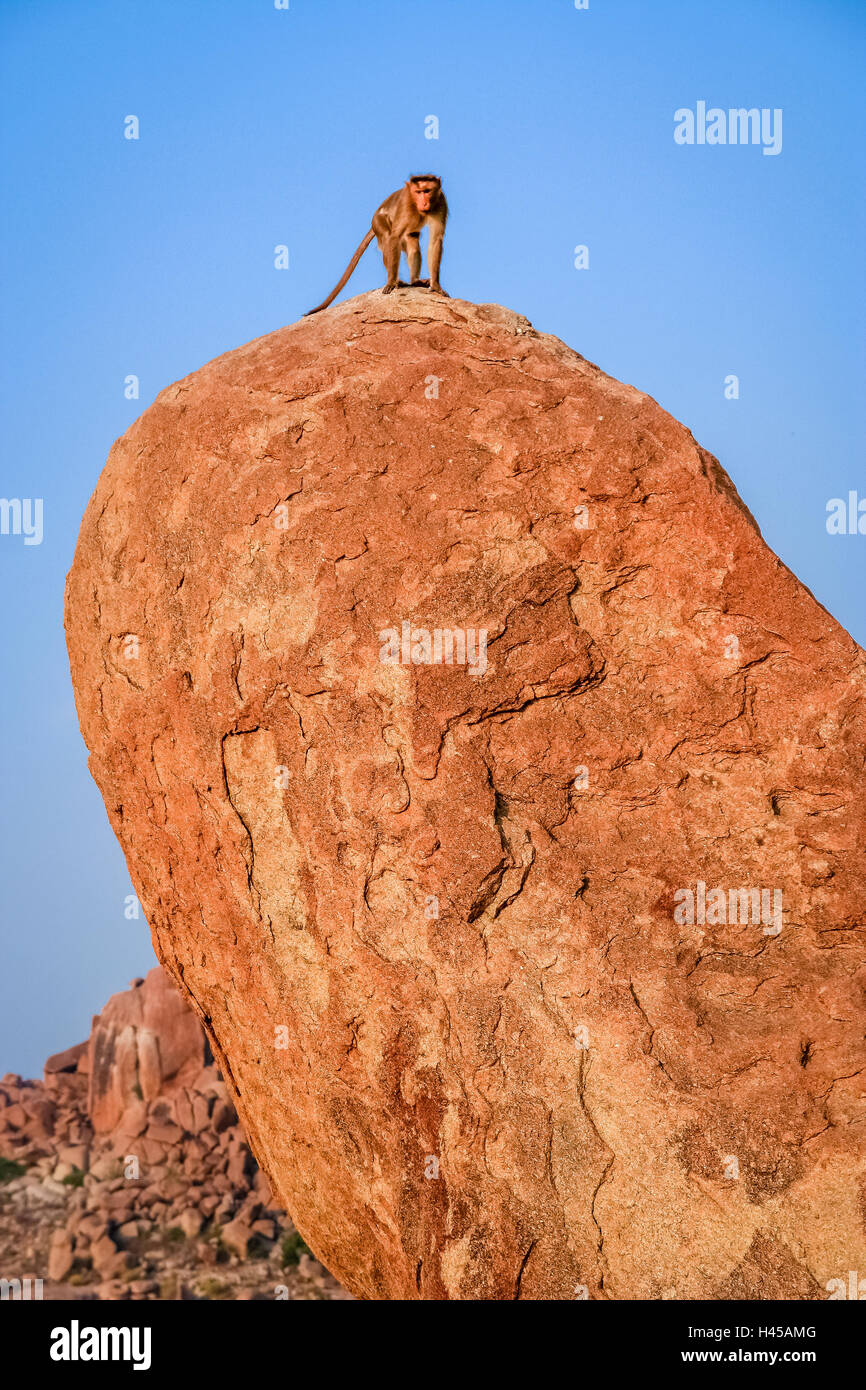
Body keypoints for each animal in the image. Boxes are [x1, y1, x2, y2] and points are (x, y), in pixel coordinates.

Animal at [305, 176, 448, 315]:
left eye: (427, 191)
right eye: (418, 192)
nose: (424, 202)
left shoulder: (441, 203)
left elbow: (436, 240)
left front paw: (436, 286)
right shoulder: (406, 206)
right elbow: (394, 237)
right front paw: (391, 282)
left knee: (413, 243)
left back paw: (415, 281)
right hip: (379, 222)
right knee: (388, 238)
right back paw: (396, 280)